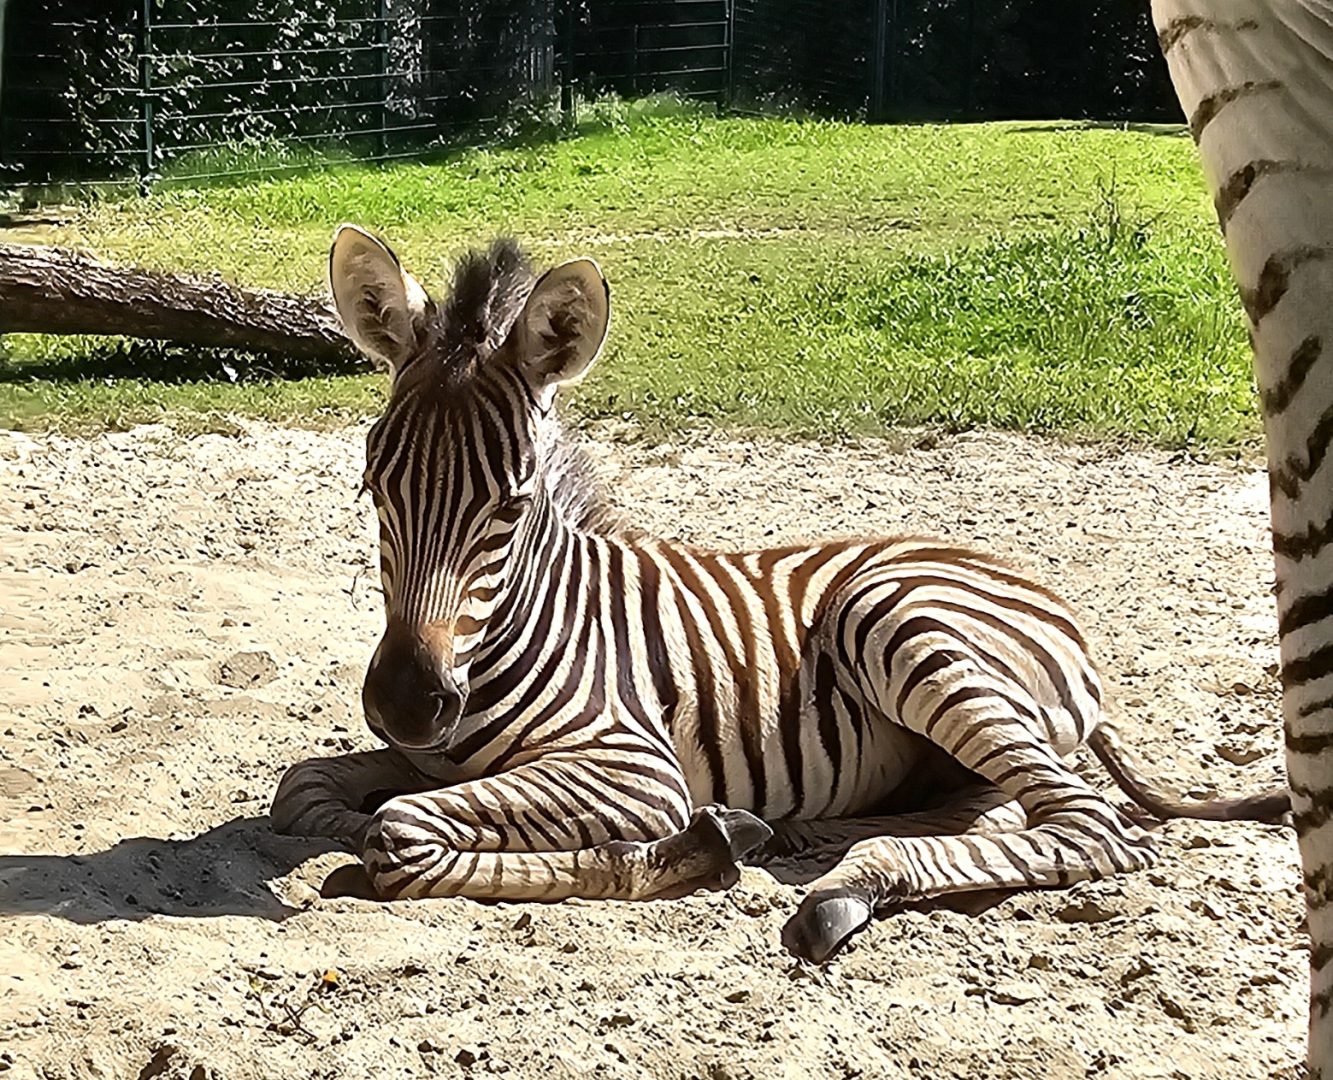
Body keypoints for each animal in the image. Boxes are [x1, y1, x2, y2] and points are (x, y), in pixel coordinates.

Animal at [270, 223, 1286, 964]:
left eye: (511, 507)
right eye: (372, 487)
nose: (406, 703)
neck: (518, 625)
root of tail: (1017, 577)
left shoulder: (633, 767)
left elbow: (399, 834)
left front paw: (679, 850)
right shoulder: (427, 757)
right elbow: (303, 791)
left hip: (898, 619)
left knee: (1088, 824)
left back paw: (834, 884)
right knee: (1001, 808)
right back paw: (813, 847)